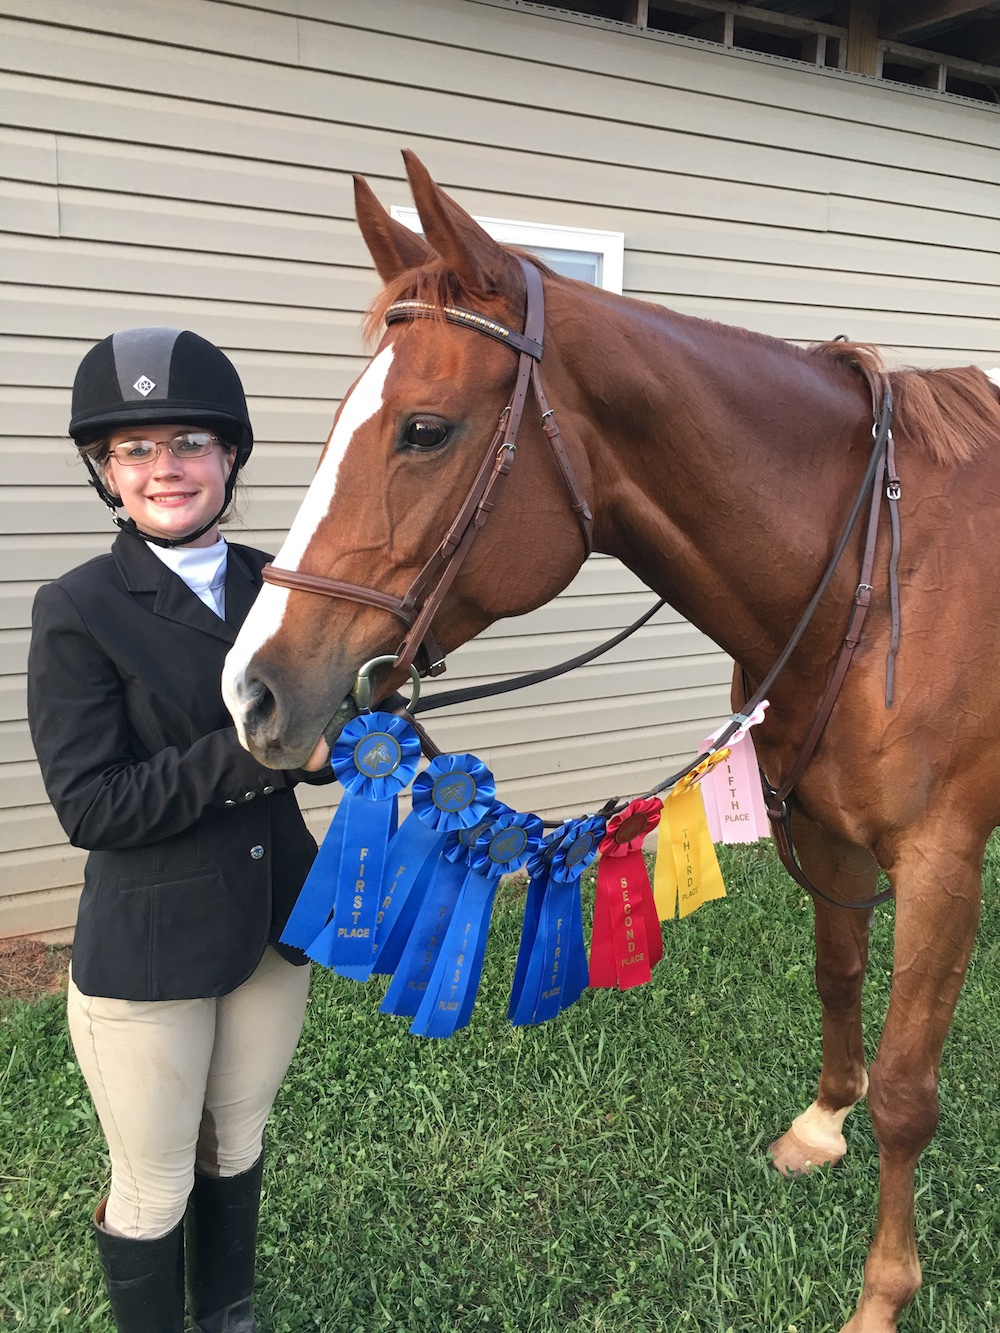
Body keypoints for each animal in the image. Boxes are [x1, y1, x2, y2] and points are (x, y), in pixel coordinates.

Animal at [222, 150, 1000, 1332]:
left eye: (425, 429)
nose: (253, 691)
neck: (877, 578)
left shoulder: (943, 860)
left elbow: (910, 1092)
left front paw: (883, 1292)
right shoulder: (826, 832)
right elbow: (837, 977)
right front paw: (823, 1123)